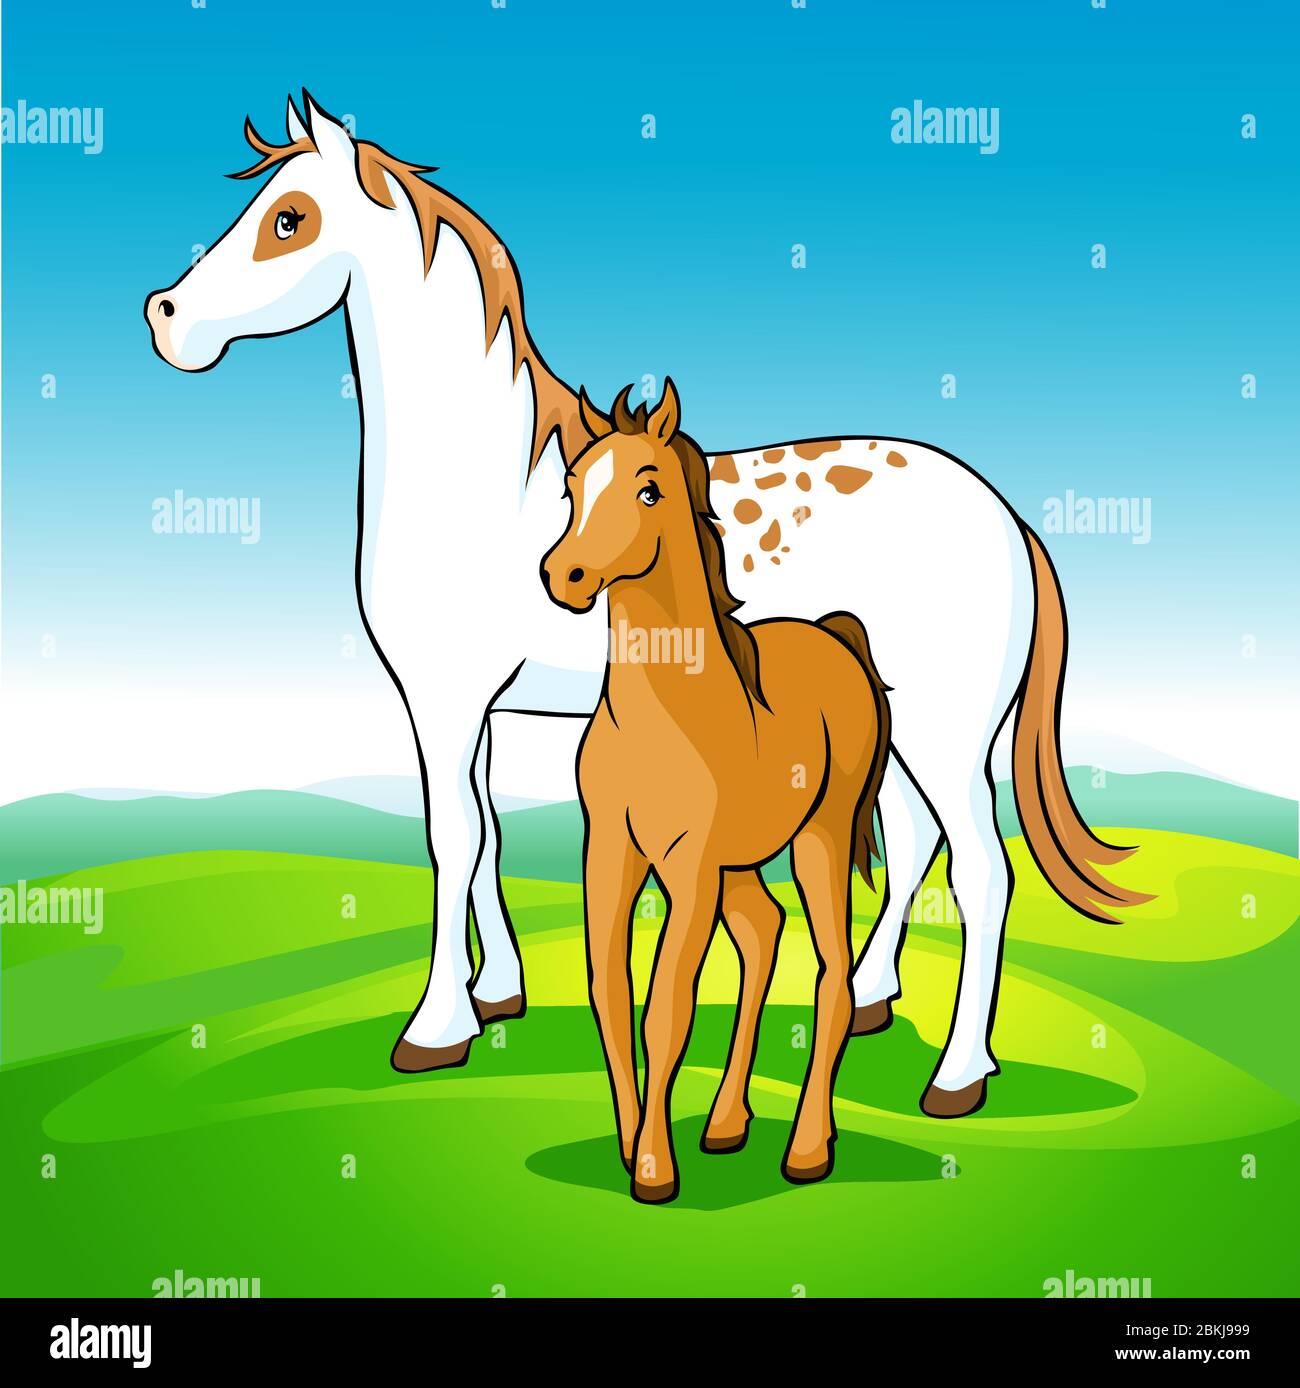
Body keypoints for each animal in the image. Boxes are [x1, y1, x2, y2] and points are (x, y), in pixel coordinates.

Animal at [143, 94, 1147, 1119]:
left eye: (289, 221)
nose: (165, 317)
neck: (487, 483)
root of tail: (1006, 515)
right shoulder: (480, 710)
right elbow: (487, 834)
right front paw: (497, 992)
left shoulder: (444, 700)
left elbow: (451, 840)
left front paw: (434, 1030)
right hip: (898, 727)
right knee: (912, 847)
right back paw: (870, 998)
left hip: (944, 729)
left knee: (982, 873)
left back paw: (959, 1073)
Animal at [541, 379, 891, 1201]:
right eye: (572, 485)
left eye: (649, 489)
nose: (563, 577)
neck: (661, 715)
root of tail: (834, 634)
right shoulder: (612, 853)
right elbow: (609, 992)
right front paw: (633, 1142)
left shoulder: (689, 866)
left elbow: (666, 1008)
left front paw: (652, 1170)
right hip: (739, 861)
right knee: (764, 932)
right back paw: (727, 1124)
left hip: (818, 835)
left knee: (832, 970)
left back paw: (808, 1149)